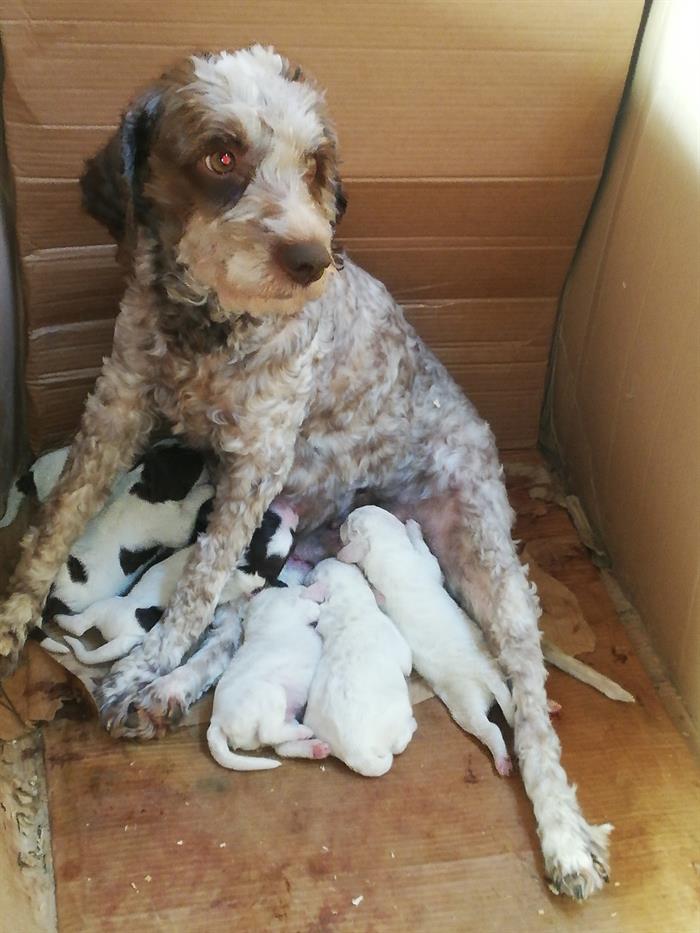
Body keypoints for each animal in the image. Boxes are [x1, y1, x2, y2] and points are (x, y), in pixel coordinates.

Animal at [206, 584, 330, 772]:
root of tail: (217, 721)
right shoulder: (297, 607)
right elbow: (310, 604)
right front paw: (318, 588)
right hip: (272, 694)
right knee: (269, 734)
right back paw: (305, 732)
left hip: (285, 715)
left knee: (281, 747)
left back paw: (314, 748)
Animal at [278, 556, 418, 776]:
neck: (345, 599)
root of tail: (358, 753)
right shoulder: (401, 650)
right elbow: (407, 664)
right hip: (400, 716)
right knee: (399, 744)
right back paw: (411, 726)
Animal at [340, 506, 516, 776]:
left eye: (349, 522)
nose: (338, 522)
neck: (389, 549)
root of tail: (487, 675)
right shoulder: (425, 566)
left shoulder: (427, 565)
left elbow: (424, 552)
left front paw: (412, 527)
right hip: (468, 701)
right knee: (492, 726)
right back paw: (504, 757)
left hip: (472, 696)